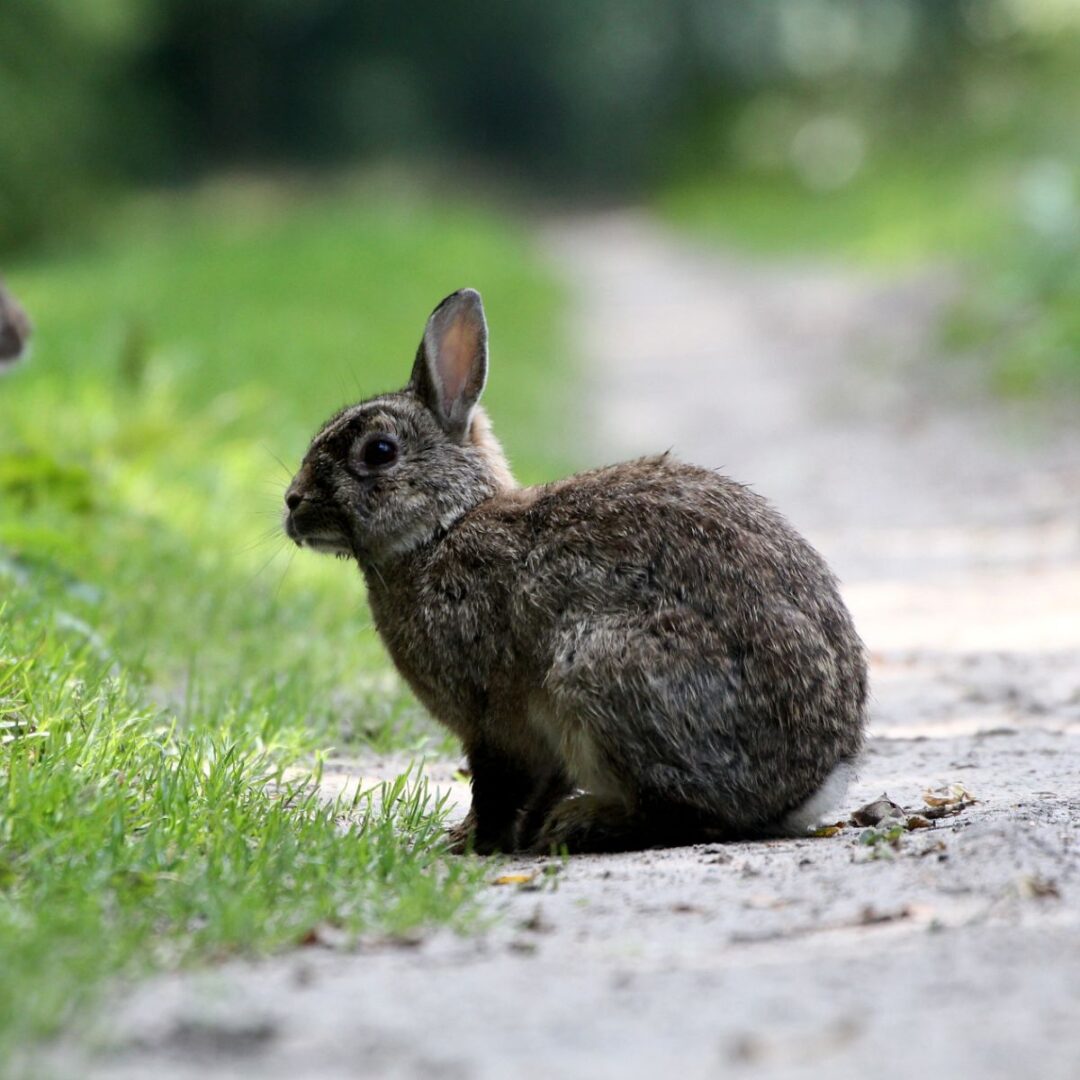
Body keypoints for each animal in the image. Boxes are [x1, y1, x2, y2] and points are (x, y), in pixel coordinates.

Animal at [284, 288, 867, 854]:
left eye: (379, 452)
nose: (292, 502)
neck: (444, 528)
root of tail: (810, 786)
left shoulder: (493, 721)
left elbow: (497, 785)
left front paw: (471, 843)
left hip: (603, 670)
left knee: (687, 814)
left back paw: (582, 826)